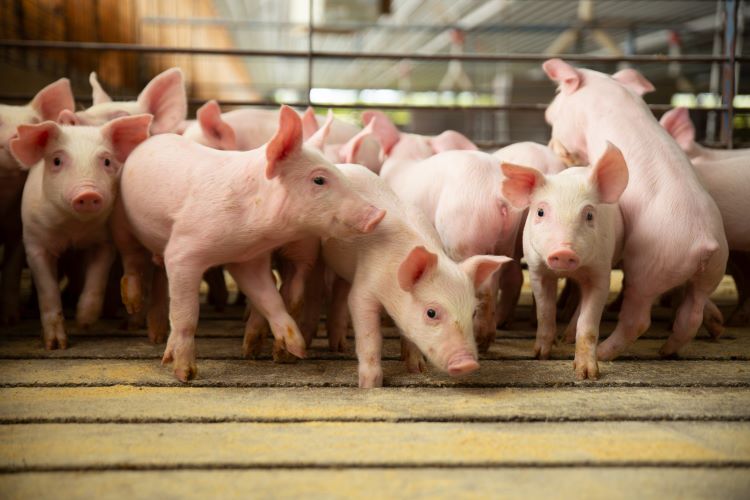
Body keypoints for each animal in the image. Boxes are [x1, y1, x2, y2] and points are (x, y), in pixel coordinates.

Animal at [9, 115, 152, 348]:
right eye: (57, 161)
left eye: (107, 161)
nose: (88, 193)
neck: (73, 229)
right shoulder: (35, 242)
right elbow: (47, 290)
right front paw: (56, 345)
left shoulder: (105, 242)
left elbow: (97, 279)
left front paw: (84, 322)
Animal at [113, 105, 386, 381]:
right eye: (319, 179)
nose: (378, 214)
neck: (252, 231)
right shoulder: (182, 252)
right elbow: (185, 312)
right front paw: (185, 374)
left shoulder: (247, 259)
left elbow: (270, 298)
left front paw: (295, 350)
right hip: (121, 221)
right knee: (132, 257)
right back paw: (134, 307)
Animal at [322, 162, 510, 388]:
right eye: (431, 312)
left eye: (473, 312)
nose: (468, 364)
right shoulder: (364, 288)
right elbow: (370, 335)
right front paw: (370, 385)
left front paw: (418, 370)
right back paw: (340, 348)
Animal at [502, 142, 628, 379]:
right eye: (540, 212)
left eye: (589, 215)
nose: (564, 251)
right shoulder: (537, 270)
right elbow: (545, 311)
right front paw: (540, 356)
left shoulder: (600, 272)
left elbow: (588, 324)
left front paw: (587, 375)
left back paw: (568, 337)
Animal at [543, 58, 728, 360]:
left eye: (557, 102)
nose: (550, 142)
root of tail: (705, 244)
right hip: (712, 272)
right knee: (692, 314)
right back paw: (666, 352)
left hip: (647, 268)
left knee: (638, 319)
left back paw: (604, 353)